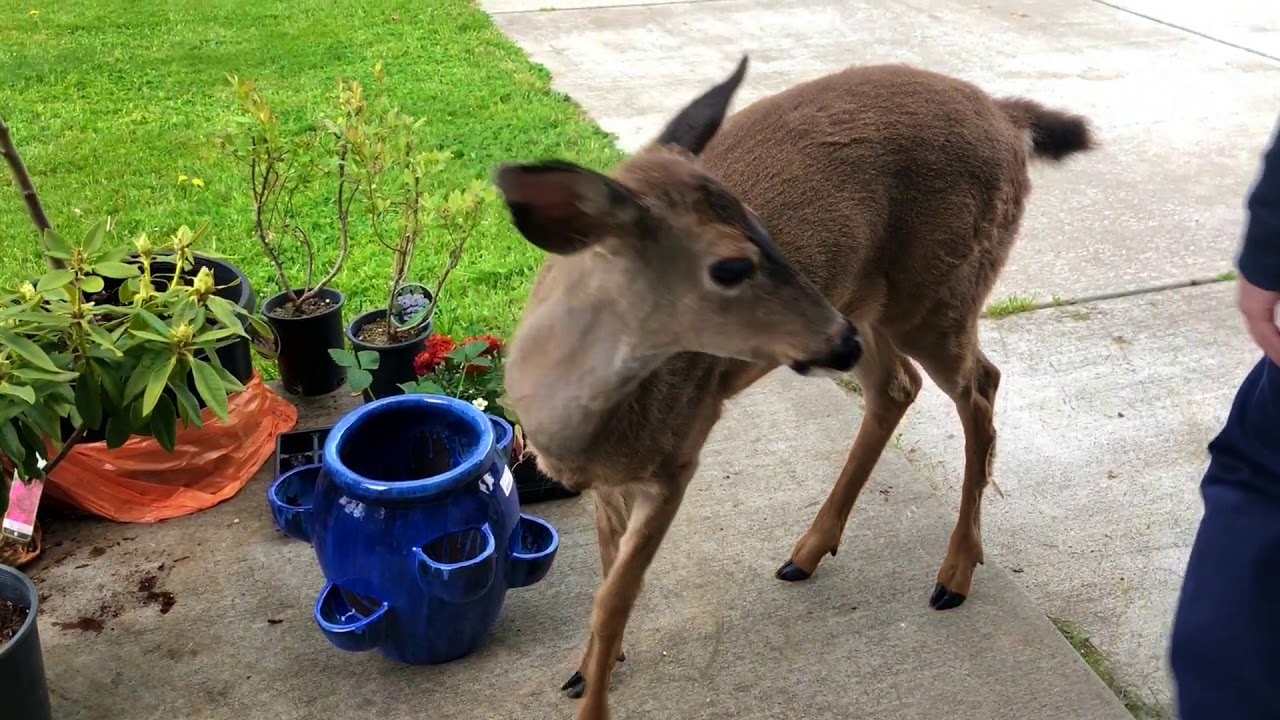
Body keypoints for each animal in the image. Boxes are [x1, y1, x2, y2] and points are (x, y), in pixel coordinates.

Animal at [493, 55, 1094, 720]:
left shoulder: (678, 456)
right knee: (899, 385)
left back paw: (954, 573)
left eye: (763, 231)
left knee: (981, 386)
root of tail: (1007, 115)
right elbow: (603, 578)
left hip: (938, 290)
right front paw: (587, 668)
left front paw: (592, 692)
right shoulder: (611, 480)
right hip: (871, 302)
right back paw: (807, 552)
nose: (836, 340)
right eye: (732, 266)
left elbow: (612, 599)